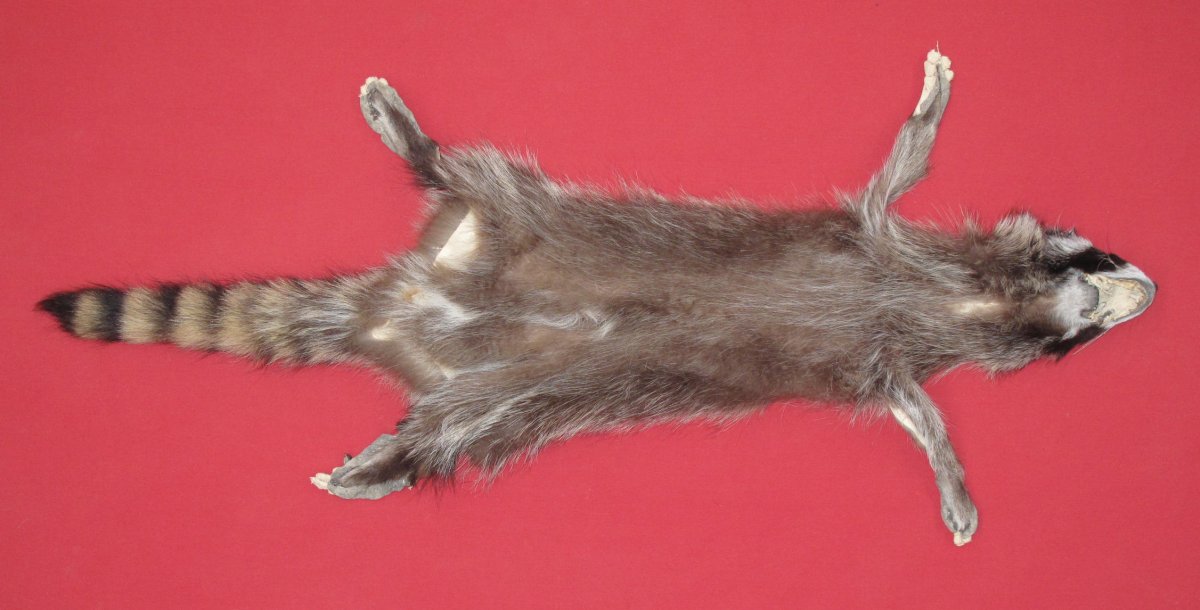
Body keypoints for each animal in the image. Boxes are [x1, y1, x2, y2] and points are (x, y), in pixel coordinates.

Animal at [37, 50, 1155, 546]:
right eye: (1093, 257)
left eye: (1075, 346)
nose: (1146, 287)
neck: (974, 302)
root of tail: (386, 314)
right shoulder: (878, 232)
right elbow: (903, 166)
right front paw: (931, 105)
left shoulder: (891, 359)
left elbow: (918, 410)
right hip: (503, 218)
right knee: (463, 171)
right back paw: (414, 142)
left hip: (495, 399)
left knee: (449, 430)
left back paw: (394, 456)